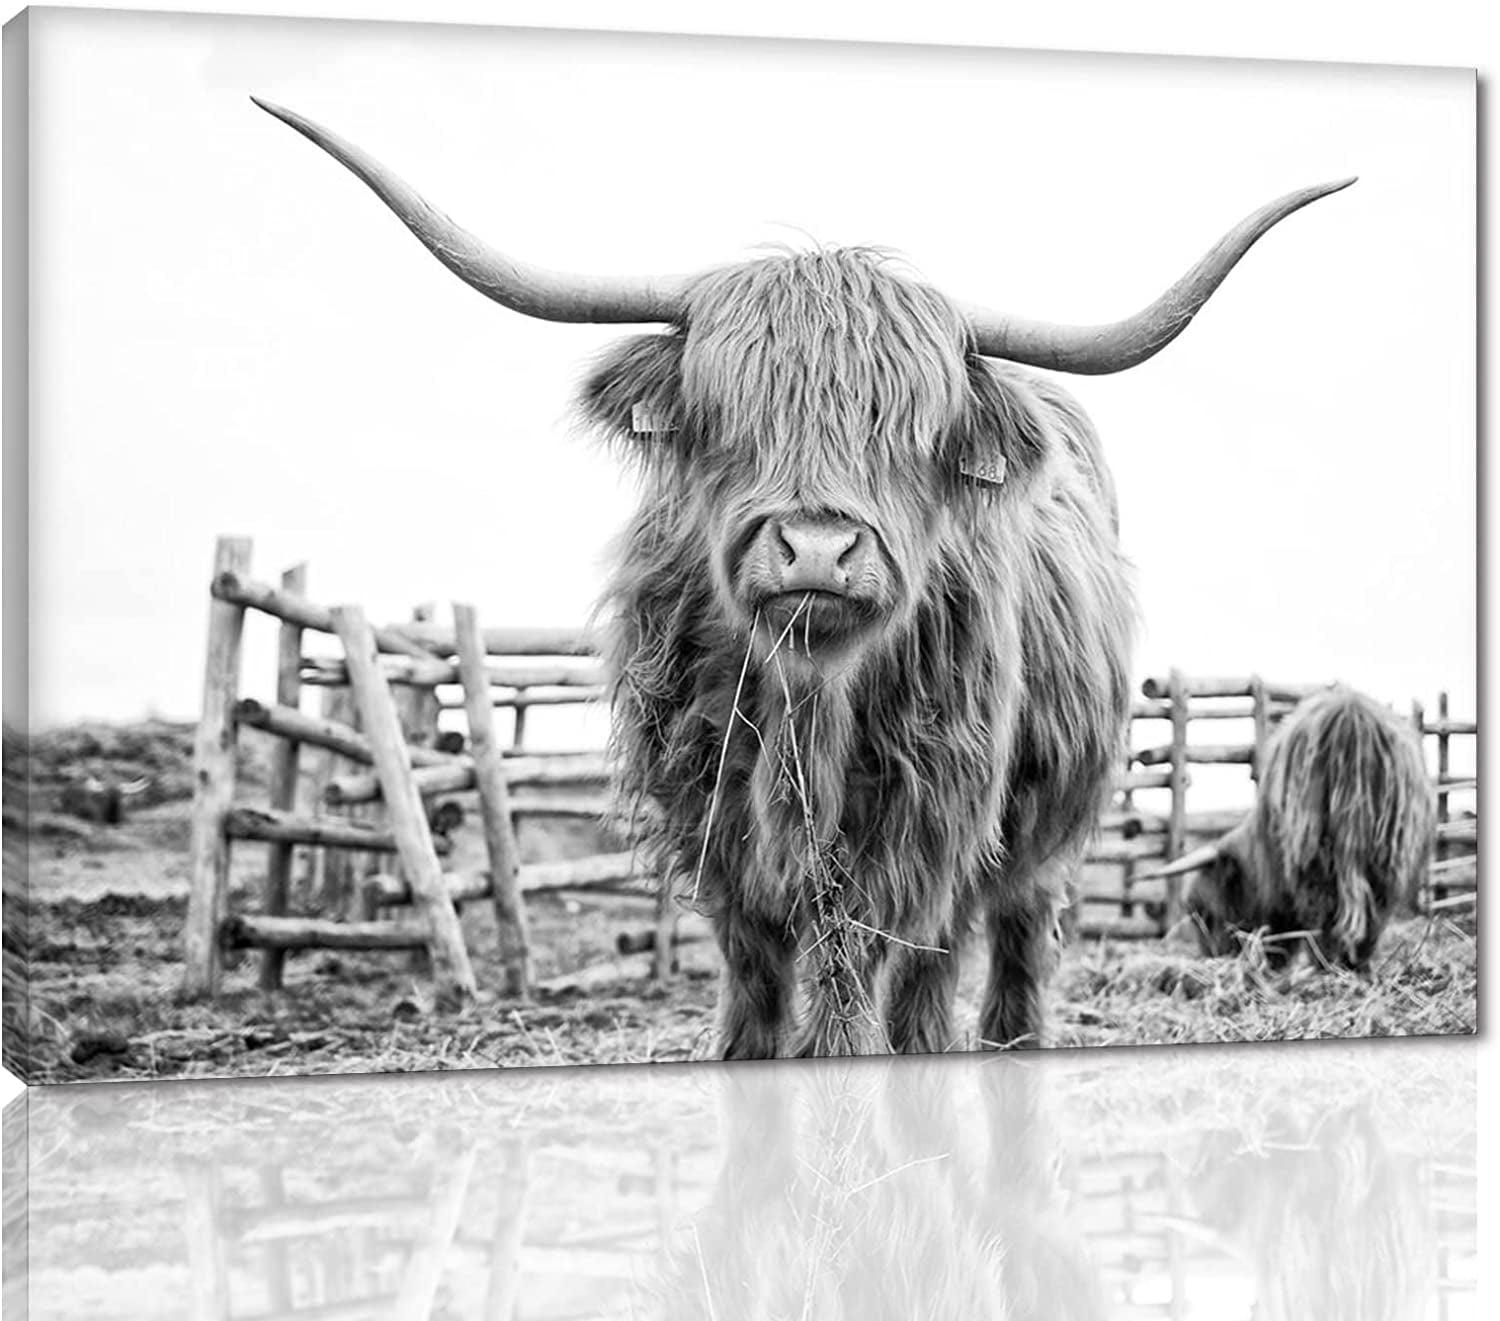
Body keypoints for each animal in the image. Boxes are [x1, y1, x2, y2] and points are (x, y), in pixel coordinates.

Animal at [254, 97, 1351, 1055]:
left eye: (912, 429)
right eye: (731, 411)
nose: (819, 550)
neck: (803, 705)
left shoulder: (911, 831)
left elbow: (849, 988)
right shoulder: (716, 836)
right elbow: (755, 991)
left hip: (1034, 834)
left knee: (991, 957)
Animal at [1146, 686, 1436, 970]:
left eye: (1204, 913)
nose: (1213, 958)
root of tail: (1352, 717)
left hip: (1312, 846)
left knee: (1325, 906)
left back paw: (1326, 965)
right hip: (1387, 848)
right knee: (1374, 907)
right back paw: (1356, 965)